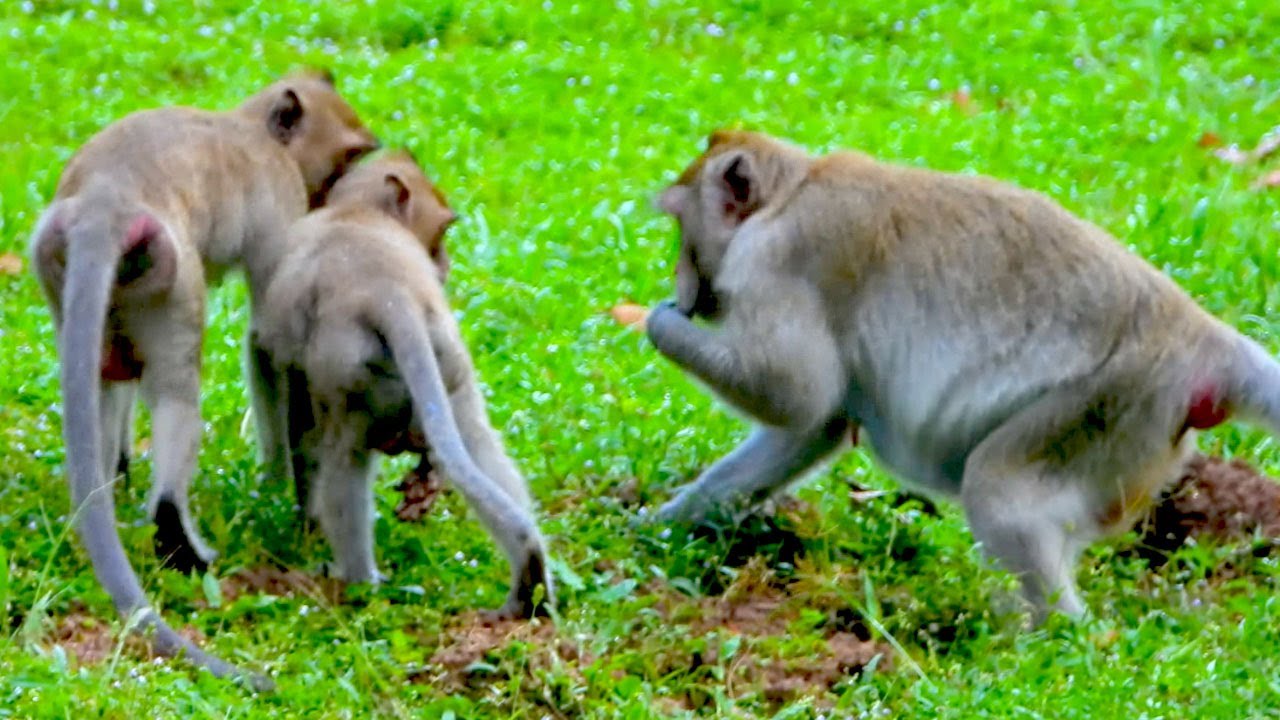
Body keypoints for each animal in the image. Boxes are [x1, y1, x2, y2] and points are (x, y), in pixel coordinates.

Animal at [28, 71, 379, 689]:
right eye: (345, 161)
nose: (333, 200)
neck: (251, 127)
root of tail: (103, 206)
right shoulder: (280, 202)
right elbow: (269, 343)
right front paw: (282, 484)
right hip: (168, 279)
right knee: (175, 396)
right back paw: (175, 539)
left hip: (67, 268)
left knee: (106, 376)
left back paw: (104, 493)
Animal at [254, 152, 553, 620]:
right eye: (443, 230)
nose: (444, 264)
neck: (356, 212)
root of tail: (392, 297)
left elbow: (282, 386)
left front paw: (295, 512)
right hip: (446, 358)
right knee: (477, 439)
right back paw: (531, 583)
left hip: (350, 374)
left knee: (344, 458)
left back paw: (356, 583)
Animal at [646, 129, 1280, 622]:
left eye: (681, 225)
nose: (679, 277)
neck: (789, 195)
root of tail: (1204, 339)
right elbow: (812, 426)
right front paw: (658, 523)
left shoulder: (775, 260)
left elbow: (795, 394)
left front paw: (658, 324)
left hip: (1108, 405)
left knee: (999, 490)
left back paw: (1053, 642)